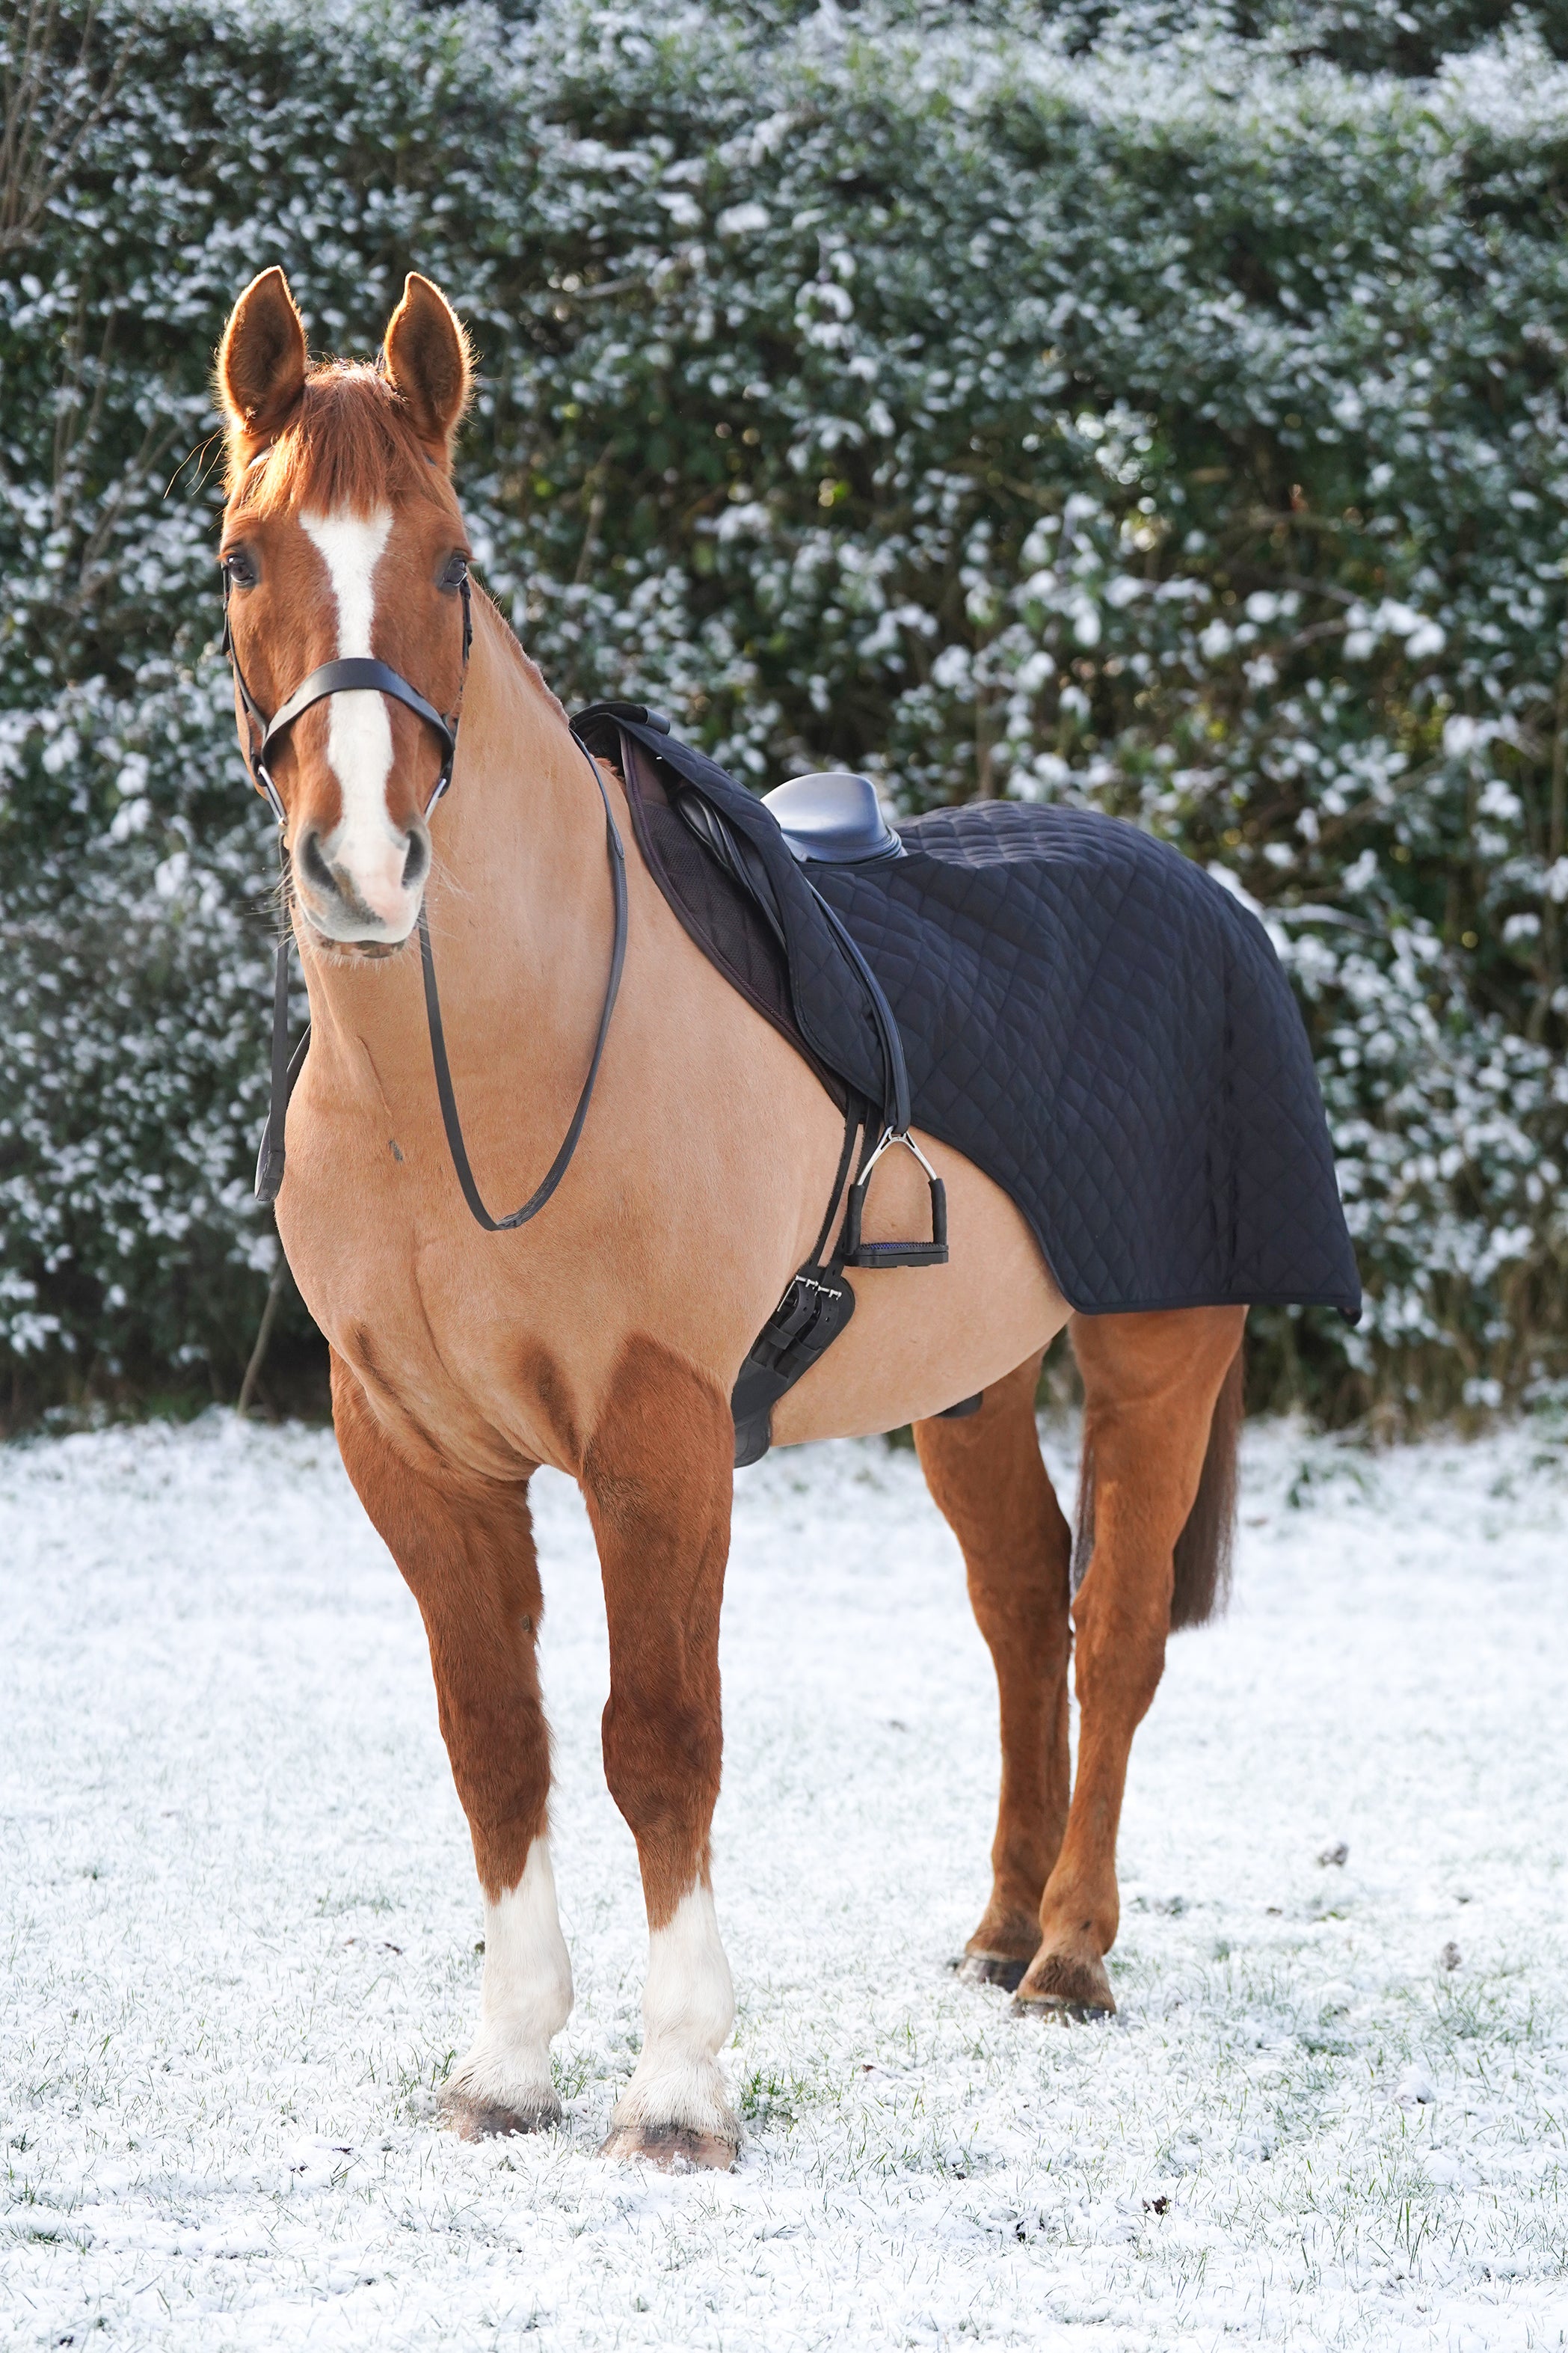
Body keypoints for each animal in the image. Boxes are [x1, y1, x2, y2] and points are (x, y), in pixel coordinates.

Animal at [215, 265, 1248, 2169]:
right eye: (248, 558)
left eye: (451, 561)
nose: (365, 864)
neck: (476, 1075)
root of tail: (1198, 887)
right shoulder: (414, 1448)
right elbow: (497, 1738)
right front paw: (507, 2063)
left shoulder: (658, 1435)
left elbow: (658, 1736)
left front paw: (678, 2088)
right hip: (968, 1385)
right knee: (1024, 1609)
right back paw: (998, 1927)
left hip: (1159, 1350)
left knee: (1118, 1625)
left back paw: (1069, 1953)